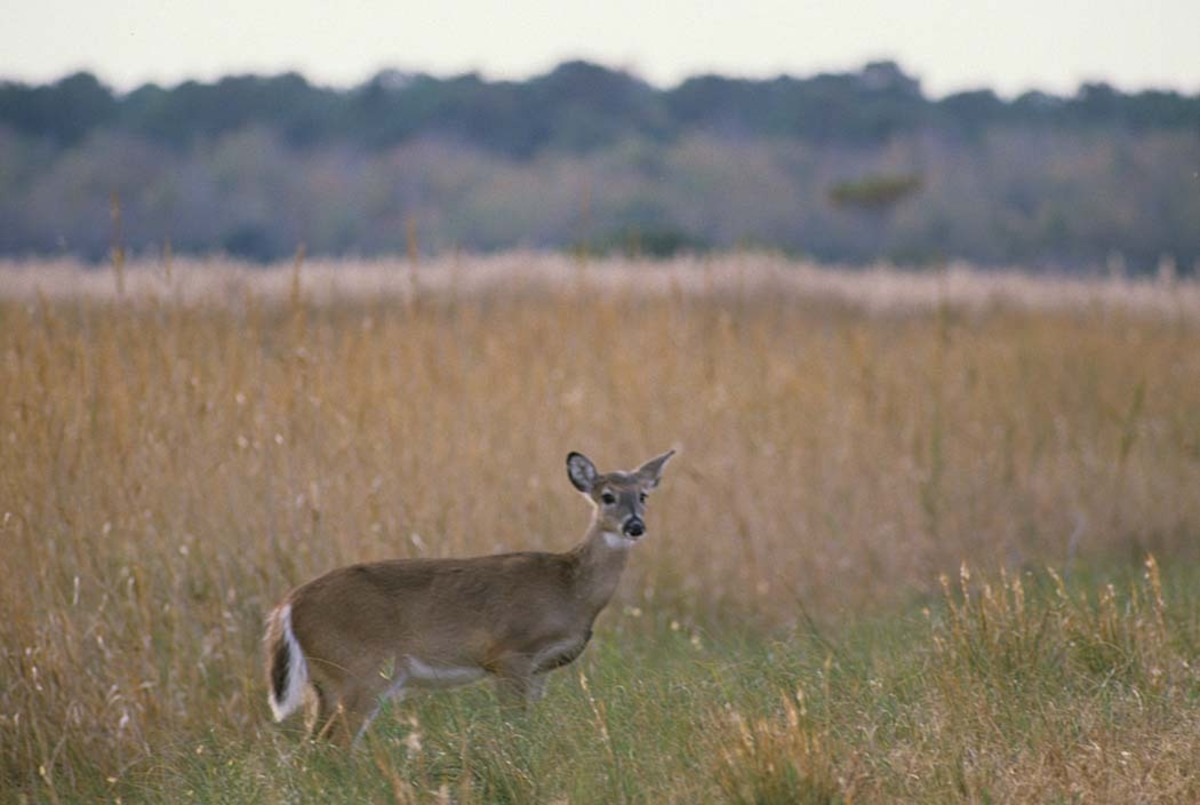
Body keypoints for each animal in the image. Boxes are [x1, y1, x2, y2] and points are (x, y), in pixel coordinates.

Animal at [263, 449, 674, 744]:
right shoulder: (510, 653)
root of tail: (288, 604)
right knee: (335, 744)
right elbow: (515, 727)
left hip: (326, 681)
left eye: (643, 495)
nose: (635, 526)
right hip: (359, 669)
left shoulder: (540, 669)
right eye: (607, 496)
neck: (570, 590)